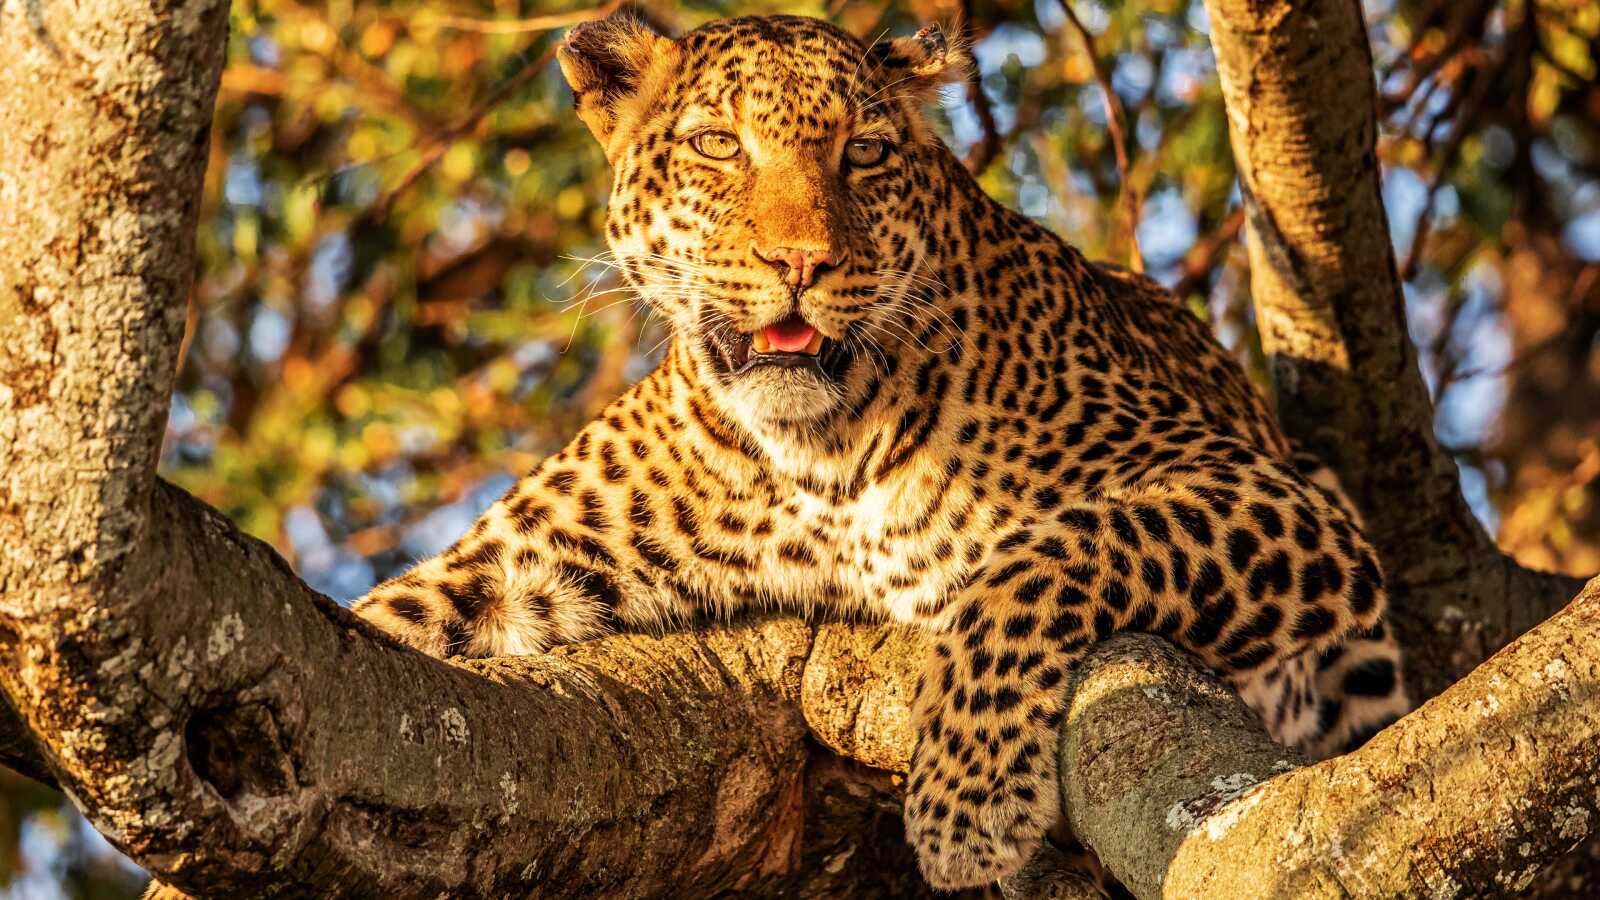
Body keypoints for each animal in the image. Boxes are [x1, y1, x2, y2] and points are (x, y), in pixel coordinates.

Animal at [352, 12, 1409, 890]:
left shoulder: (1268, 492)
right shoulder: (515, 561)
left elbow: (1048, 555)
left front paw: (967, 799)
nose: (800, 262)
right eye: (717, 145)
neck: (817, 455)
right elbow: (390, 620)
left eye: (862, 153)